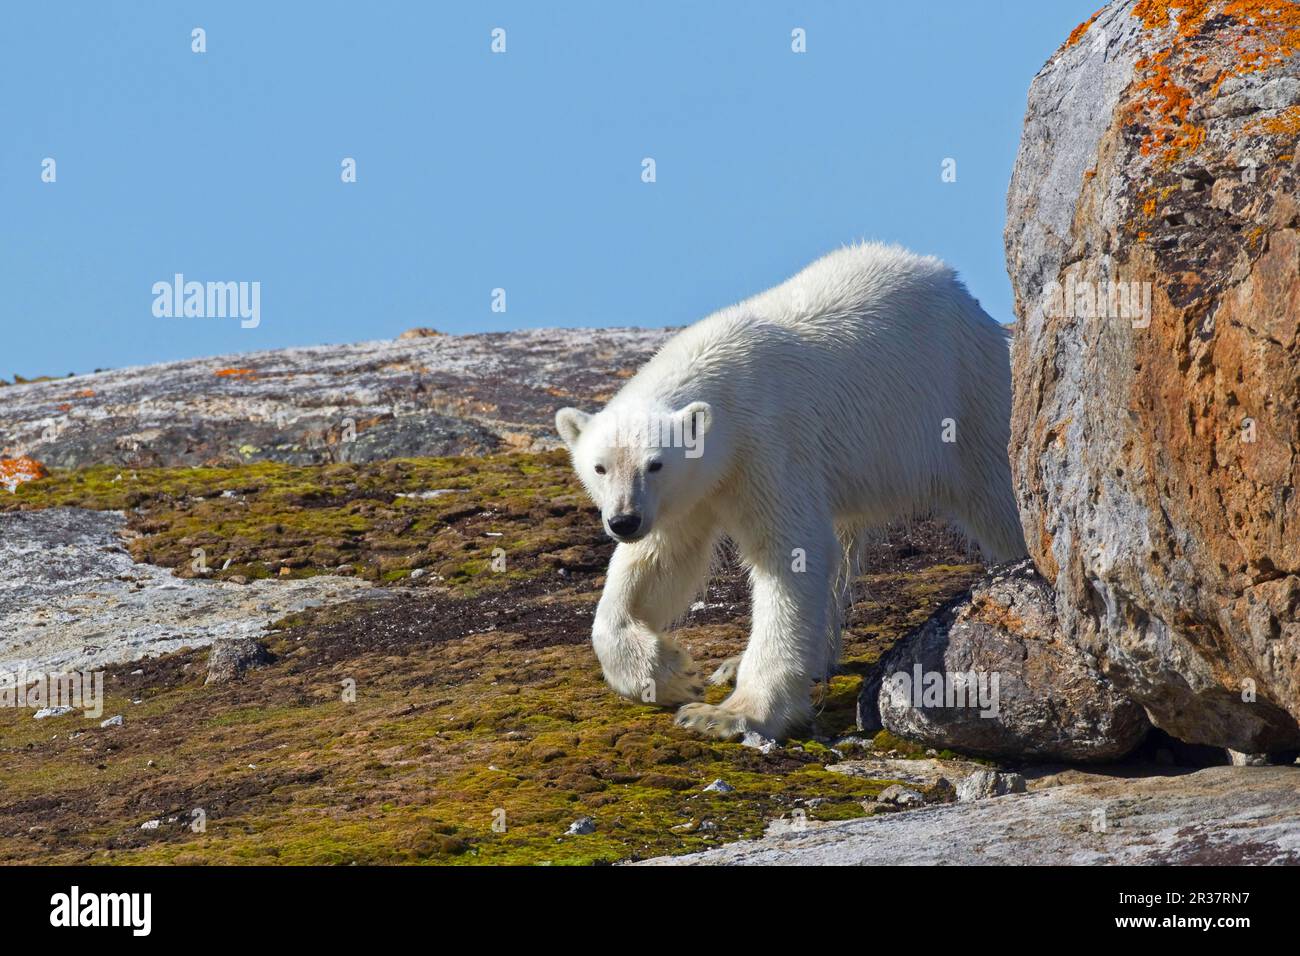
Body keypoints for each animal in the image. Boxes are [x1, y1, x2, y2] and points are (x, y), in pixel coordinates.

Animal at [555, 242, 1026, 740]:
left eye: (655, 463)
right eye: (600, 467)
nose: (624, 521)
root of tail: (962, 296)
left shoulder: (768, 445)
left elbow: (791, 553)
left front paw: (725, 714)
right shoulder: (692, 490)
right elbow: (662, 560)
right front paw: (671, 674)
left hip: (964, 402)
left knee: (999, 498)